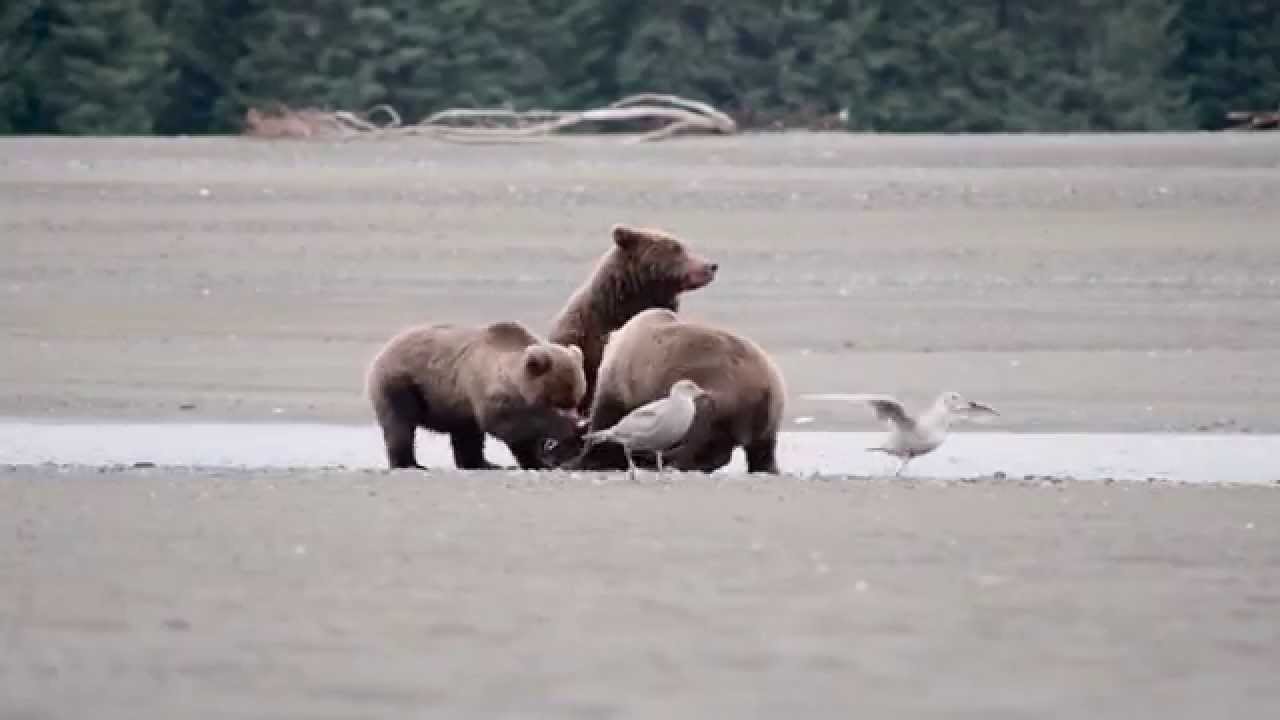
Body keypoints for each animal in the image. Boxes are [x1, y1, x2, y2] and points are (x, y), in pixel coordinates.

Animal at [365, 321, 587, 471]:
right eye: (557, 401)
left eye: (577, 398)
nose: (579, 420)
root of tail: (384, 349)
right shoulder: (490, 392)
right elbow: (511, 427)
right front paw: (543, 455)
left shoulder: (473, 397)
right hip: (401, 383)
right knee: (400, 424)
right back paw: (410, 463)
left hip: (457, 404)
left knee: (466, 434)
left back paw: (484, 463)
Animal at [557, 308, 786, 475]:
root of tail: (767, 388)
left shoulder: (620, 381)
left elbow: (605, 419)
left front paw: (577, 460)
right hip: (767, 413)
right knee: (760, 448)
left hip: (724, 390)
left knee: (703, 432)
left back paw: (667, 460)